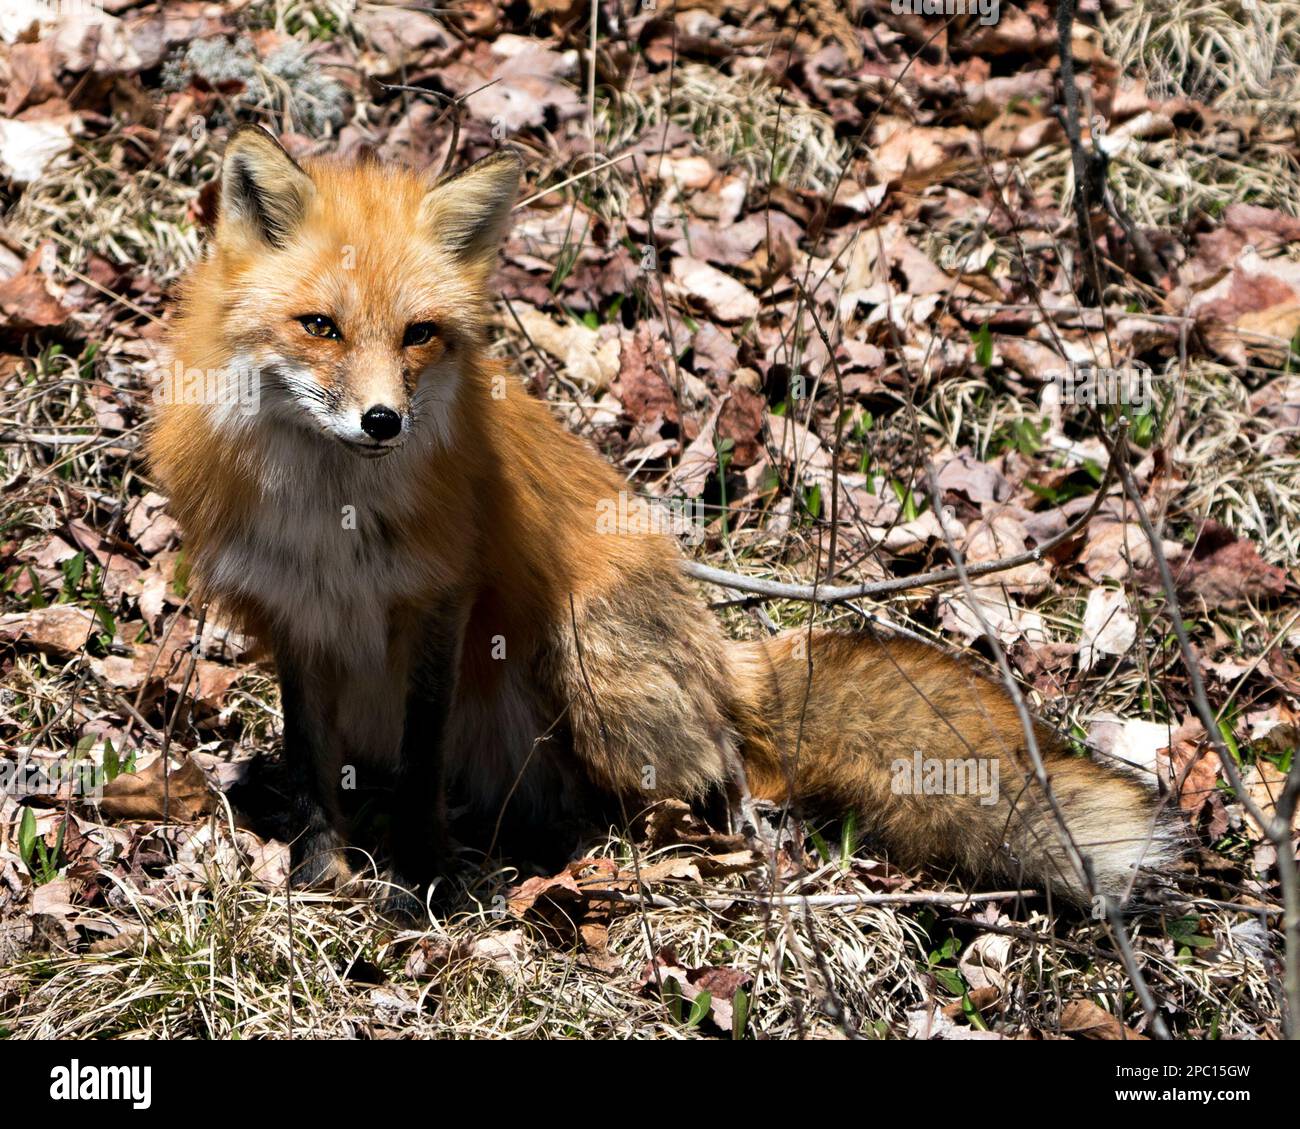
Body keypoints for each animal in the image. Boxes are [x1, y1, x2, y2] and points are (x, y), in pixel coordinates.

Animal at [147, 125, 1179, 909]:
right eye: (320, 326)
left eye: (419, 335)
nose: (382, 421)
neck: (336, 519)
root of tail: (719, 658)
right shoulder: (298, 617)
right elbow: (313, 763)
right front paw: (322, 872)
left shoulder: (439, 604)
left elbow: (421, 754)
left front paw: (422, 876)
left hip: (590, 660)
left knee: (719, 770)